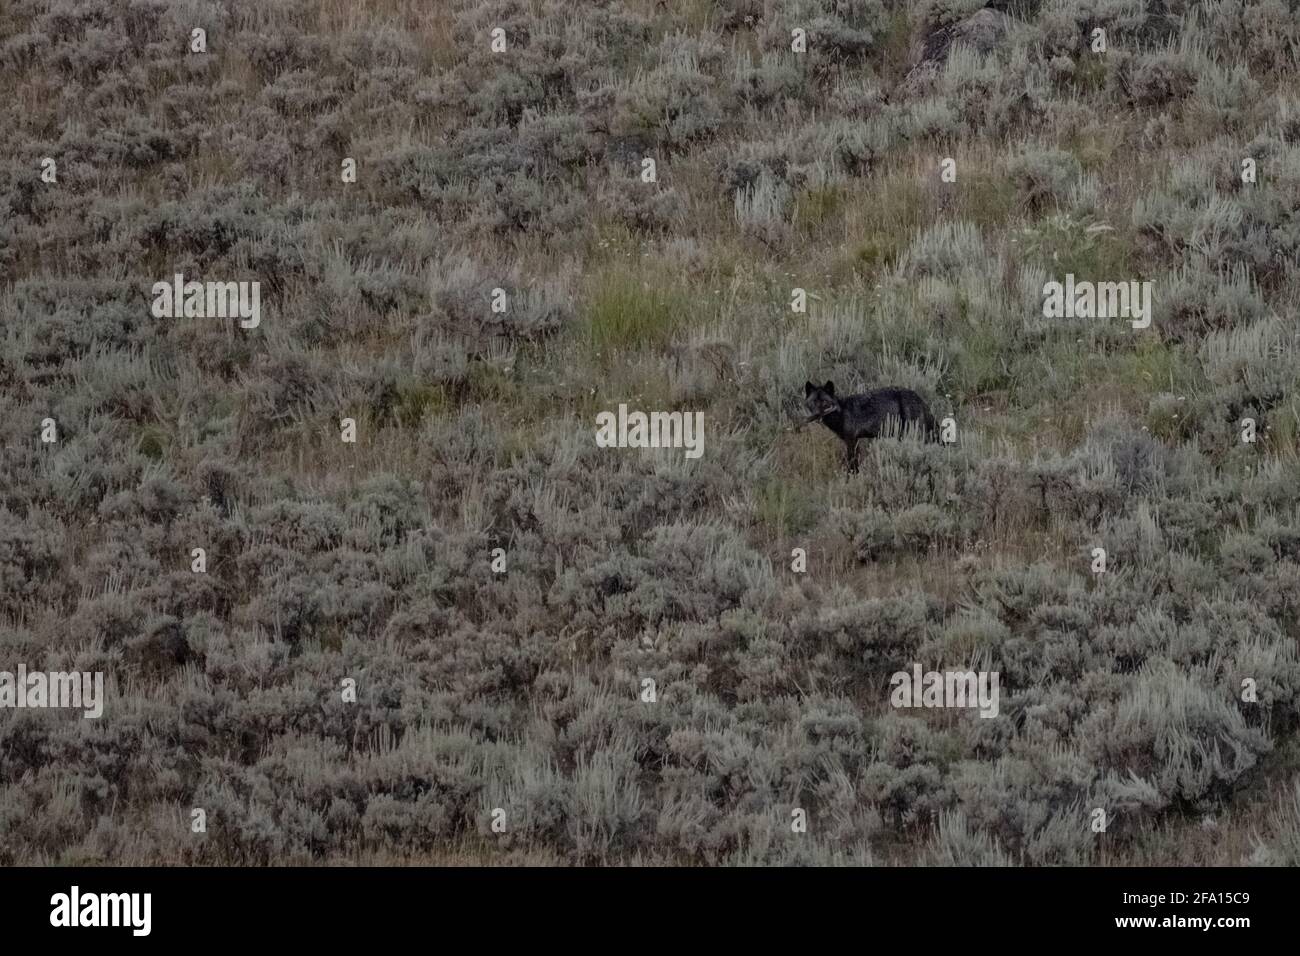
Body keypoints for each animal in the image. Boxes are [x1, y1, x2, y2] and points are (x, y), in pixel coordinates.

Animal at [803, 380, 938, 473]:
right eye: (813, 402)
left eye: (824, 402)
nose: (816, 415)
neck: (841, 411)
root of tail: (918, 397)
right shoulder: (855, 440)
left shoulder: (851, 440)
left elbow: (852, 462)